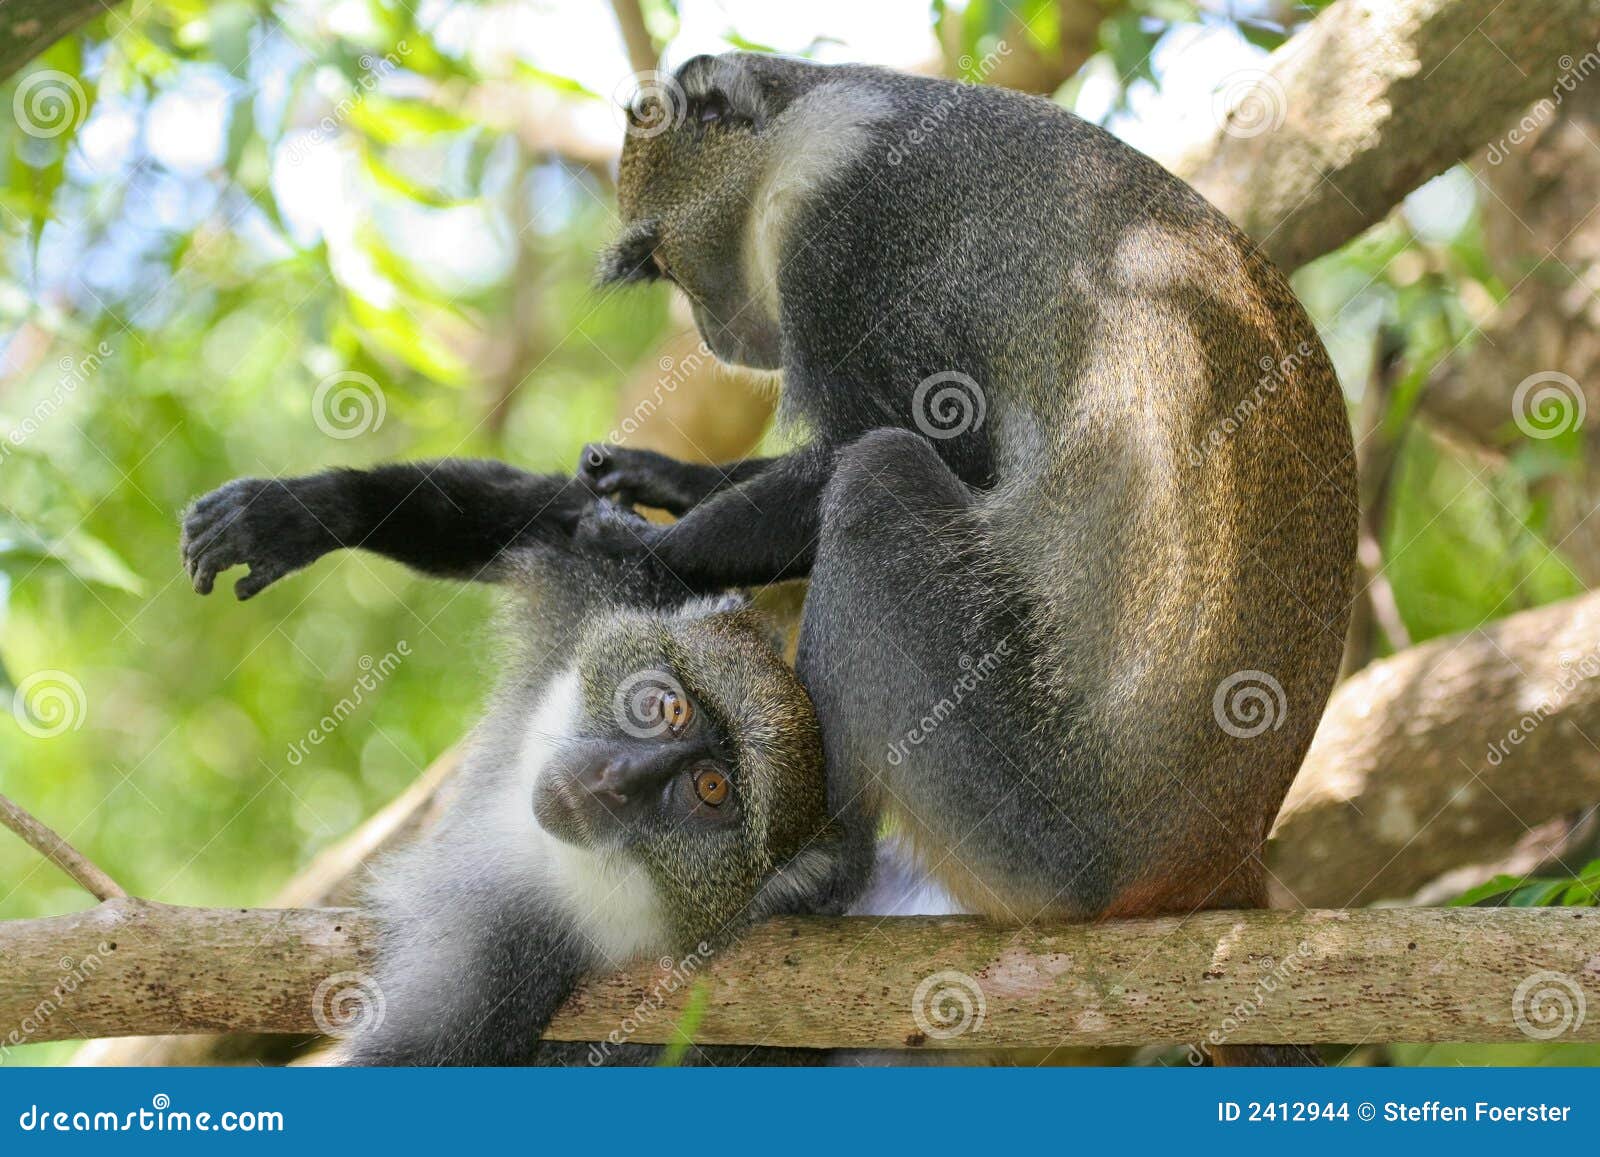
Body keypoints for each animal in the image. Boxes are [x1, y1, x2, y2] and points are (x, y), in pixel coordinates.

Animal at [179, 461, 846, 1065]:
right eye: (668, 707)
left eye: (709, 789)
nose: (617, 777)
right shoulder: (617, 588)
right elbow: (556, 516)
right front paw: (294, 514)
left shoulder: (496, 976)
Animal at [578, 54, 1357, 1064]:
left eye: (670, 263)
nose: (710, 335)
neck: (819, 126)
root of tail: (1222, 859)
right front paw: (665, 480)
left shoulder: (854, 244)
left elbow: (920, 444)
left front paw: (650, 545)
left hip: (1043, 829)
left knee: (876, 481)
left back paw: (813, 867)